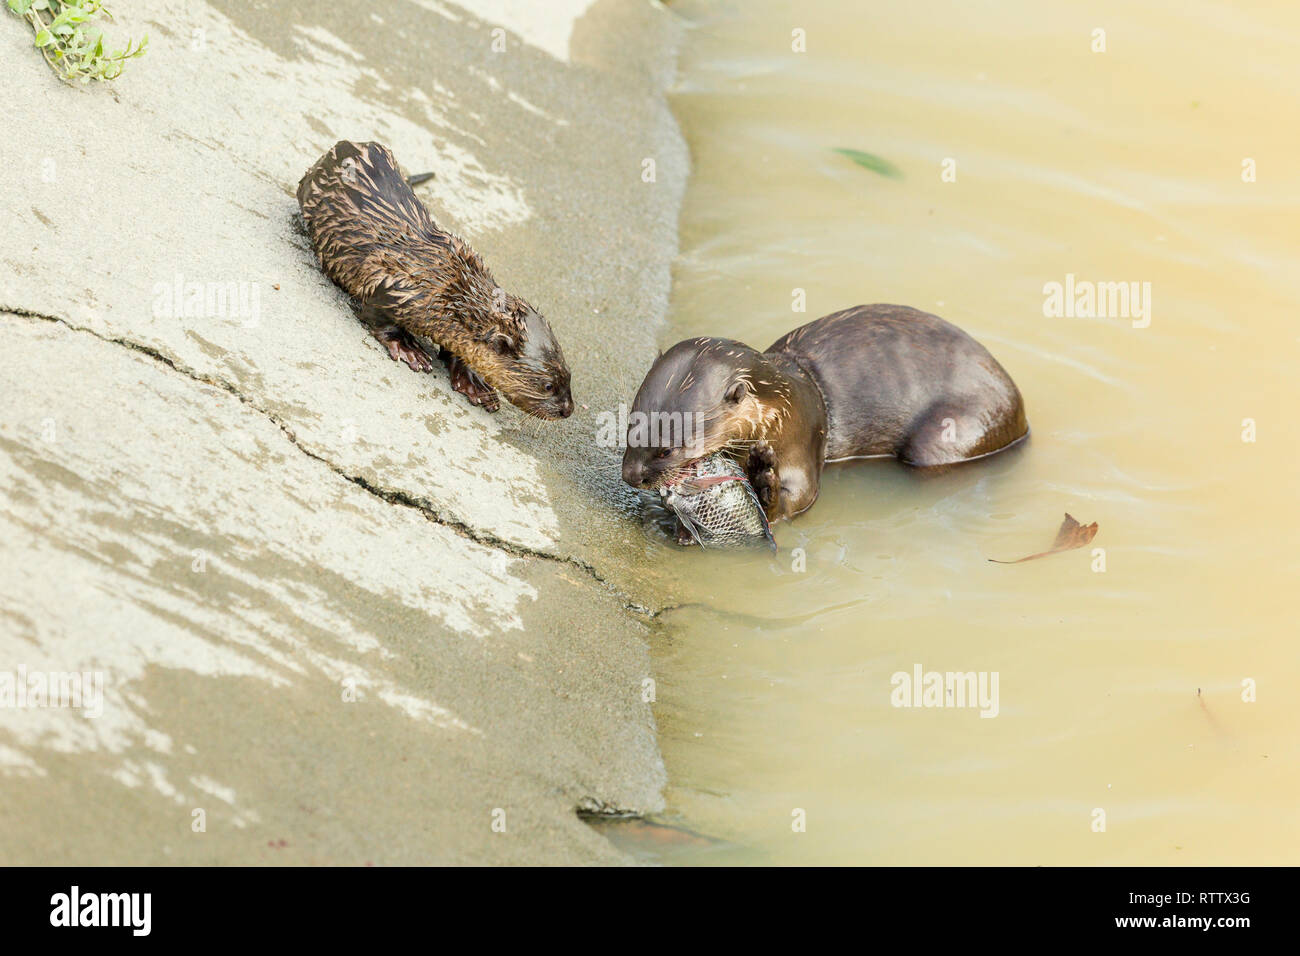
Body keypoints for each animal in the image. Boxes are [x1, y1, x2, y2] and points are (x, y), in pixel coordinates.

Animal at [297, 140, 573, 419]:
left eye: (568, 377)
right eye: (548, 385)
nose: (568, 410)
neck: (448, 292)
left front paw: (472, 381)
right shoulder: (393, 285)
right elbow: (378, 316)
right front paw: (408, 348)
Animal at [621, 304, 1028, 527]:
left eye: (668, 449)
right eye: (630, 428)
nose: (631, 476)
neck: (785, 406)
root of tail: (1020, 412)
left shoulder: (801, 439)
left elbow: (799, 500)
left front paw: (764, 480)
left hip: (949, 434)